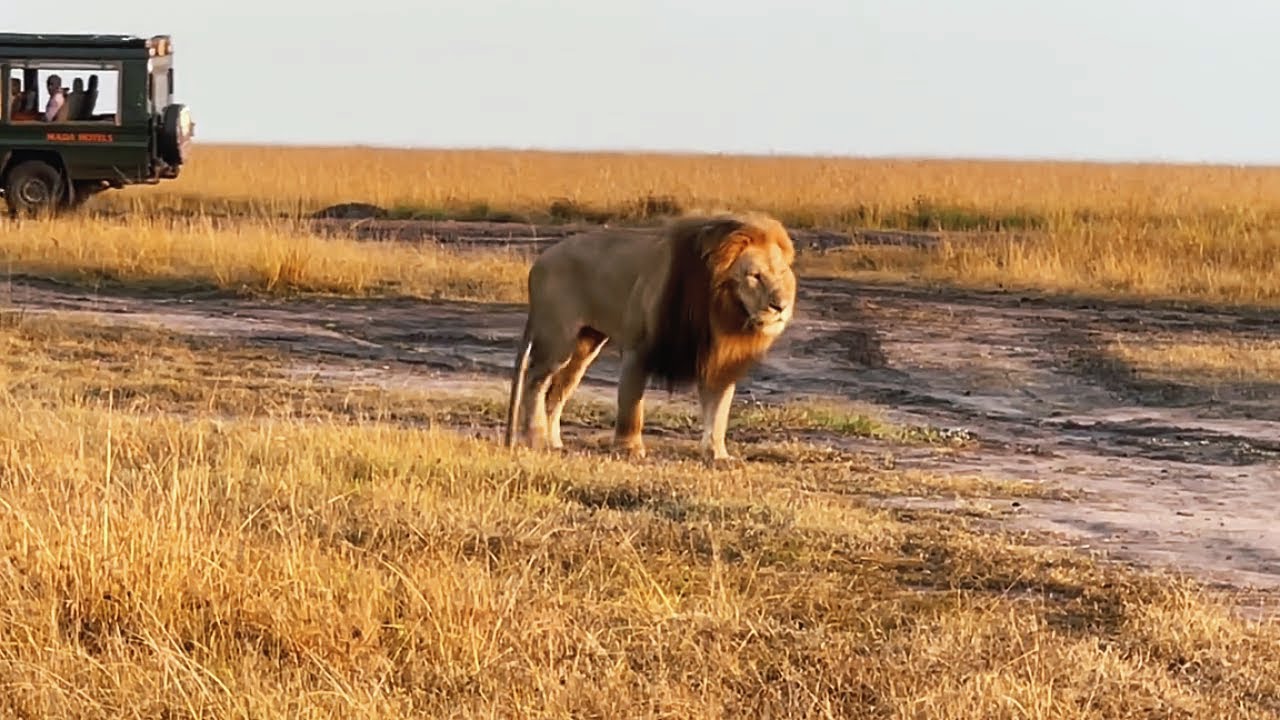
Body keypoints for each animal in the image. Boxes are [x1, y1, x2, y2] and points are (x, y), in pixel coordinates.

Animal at [502, 210, 797, 463]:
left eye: (781, 273)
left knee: (556, 392)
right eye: (755, 276)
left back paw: (554, 443)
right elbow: (631, 404)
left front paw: (718, 454)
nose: (781, 306)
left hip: (584, 345)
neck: (719, 311)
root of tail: (541, 260)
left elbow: (719, 410)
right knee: (535, 381)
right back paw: (537, 438)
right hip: (558, 339)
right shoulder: (639, 347)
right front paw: (629, 449)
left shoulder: (717, 357)